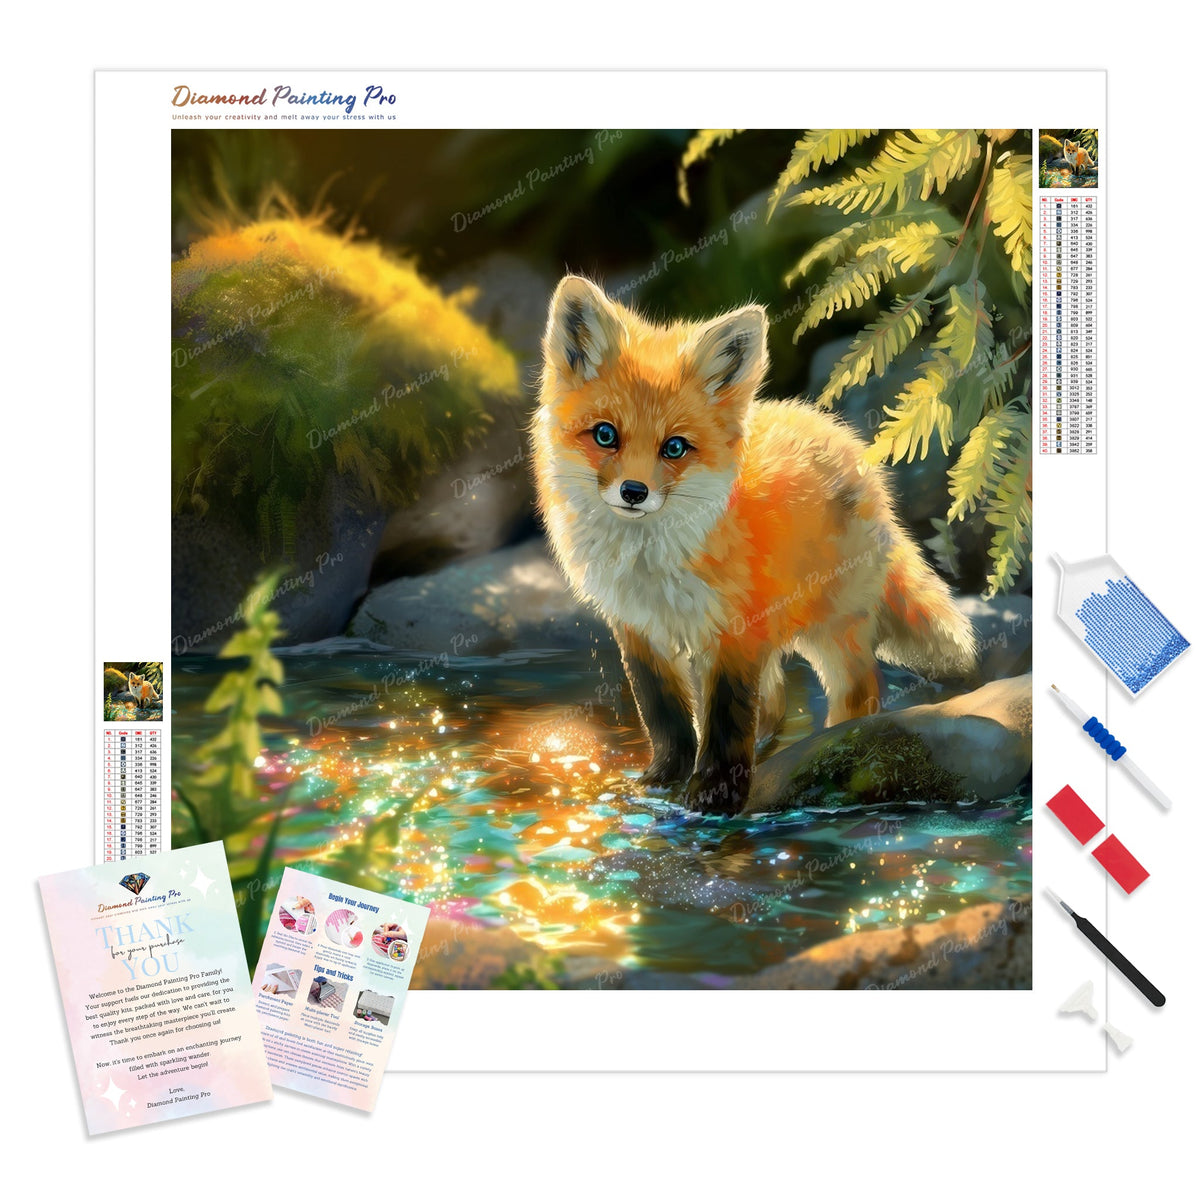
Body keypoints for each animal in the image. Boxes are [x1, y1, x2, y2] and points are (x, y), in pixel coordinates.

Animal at [532, 276, 977, 815]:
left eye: (674, 447)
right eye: (604, 436)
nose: (633, 492)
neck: (651, 562)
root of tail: (853, 449)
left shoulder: (734, 633)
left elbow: (725, 720)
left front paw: (714, 797)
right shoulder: (640, 631)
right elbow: (666, 715)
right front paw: (664, 782)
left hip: (829, 627)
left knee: (861, 691)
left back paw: (833, 750)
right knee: (777, 703)